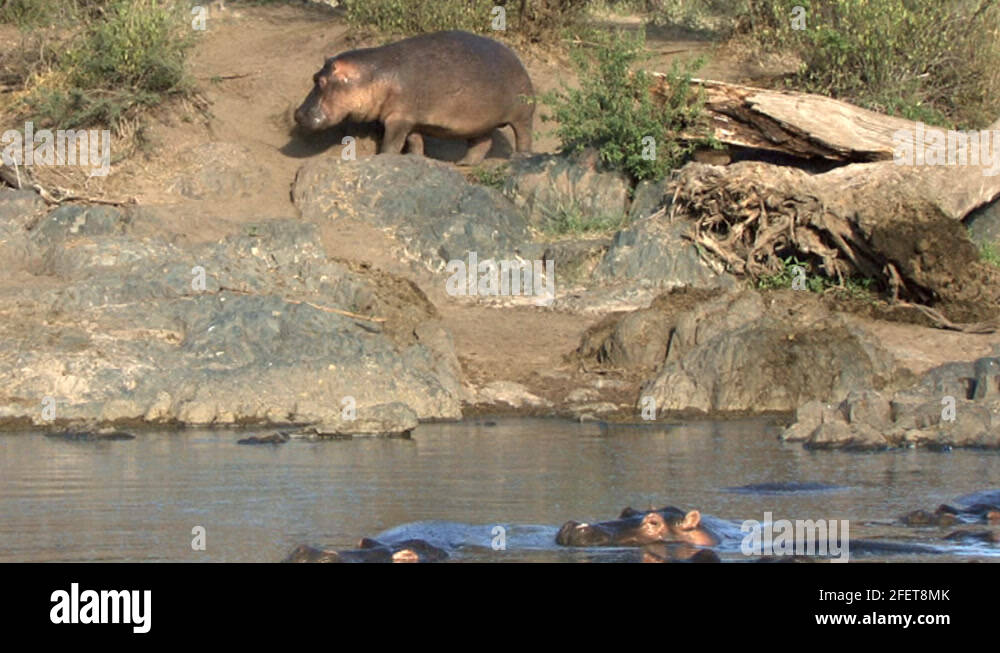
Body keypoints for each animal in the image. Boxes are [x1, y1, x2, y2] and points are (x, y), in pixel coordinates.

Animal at [294, 30, 534, 165]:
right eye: (314, 76)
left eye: (320, 81)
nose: (297, 114)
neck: (374, 75)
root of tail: (517, 59)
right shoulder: (411, 120)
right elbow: (414, 142)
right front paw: (416, 158)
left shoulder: (398, 119)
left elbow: (392, 143)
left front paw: (383, 157)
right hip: (479, 124)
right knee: (482, 144)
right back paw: (463, 164)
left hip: (522, 114)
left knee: (523, 136)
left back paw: (522, 158)